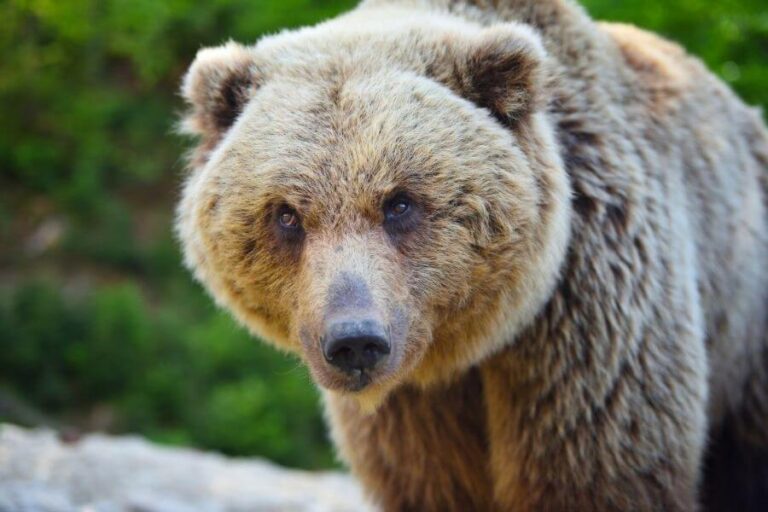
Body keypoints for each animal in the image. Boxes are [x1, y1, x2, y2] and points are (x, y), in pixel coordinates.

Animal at [175, 0, 768, 510]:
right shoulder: (410, 414)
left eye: (400, 202)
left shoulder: (590, 317)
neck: (468, 347)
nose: (355, 342)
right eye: (287, 214)